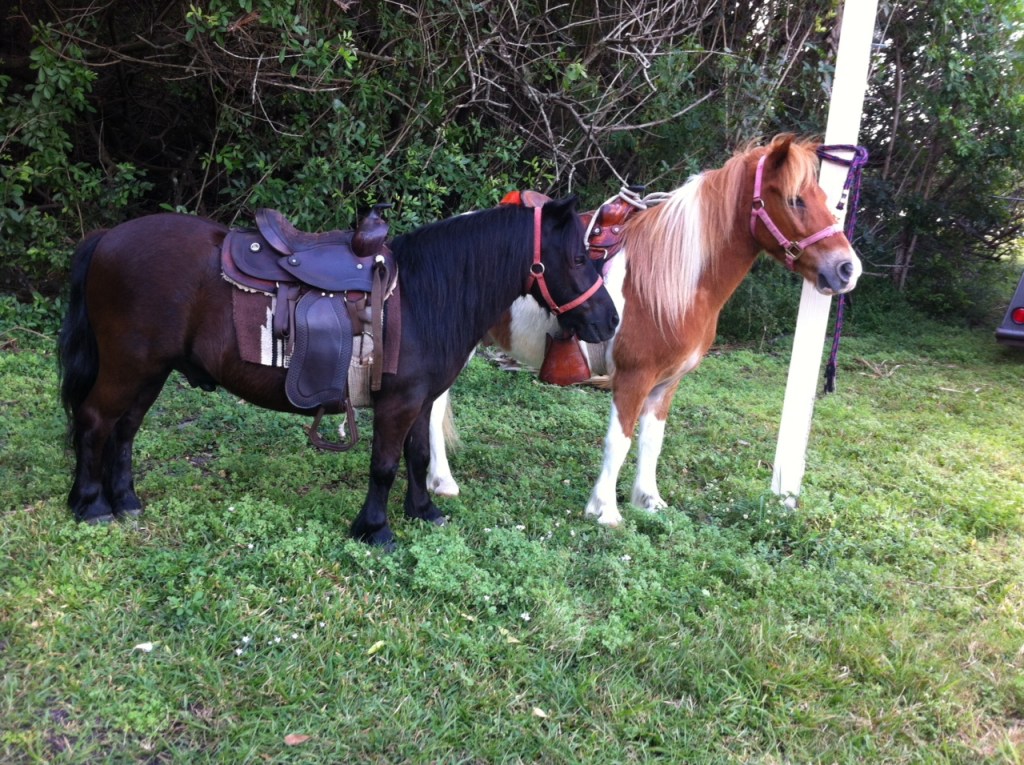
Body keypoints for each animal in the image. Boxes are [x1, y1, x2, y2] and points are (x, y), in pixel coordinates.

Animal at [57, 198, 619, 547]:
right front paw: (375, 529)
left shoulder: (420, 401)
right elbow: (384, 465)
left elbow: (418, 457)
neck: (423, 294)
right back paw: (90, 504)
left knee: (125, 430)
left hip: (150, 371)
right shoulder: (397, 404)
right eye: (577, 258)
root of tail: (107, 238)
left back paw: (125, 500)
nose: (610, 321)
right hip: (128, 366)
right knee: (94, 422)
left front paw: (424, 511)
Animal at [427, 135, 862, 526]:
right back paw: (442, 481)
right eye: (795, 200)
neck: (674, 282)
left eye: (825, 199)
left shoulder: (666, 383)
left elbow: (652, 441)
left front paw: (648, 500)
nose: (847, 269)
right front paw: (605, 510)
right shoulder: (633, 379)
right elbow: (618, 441)